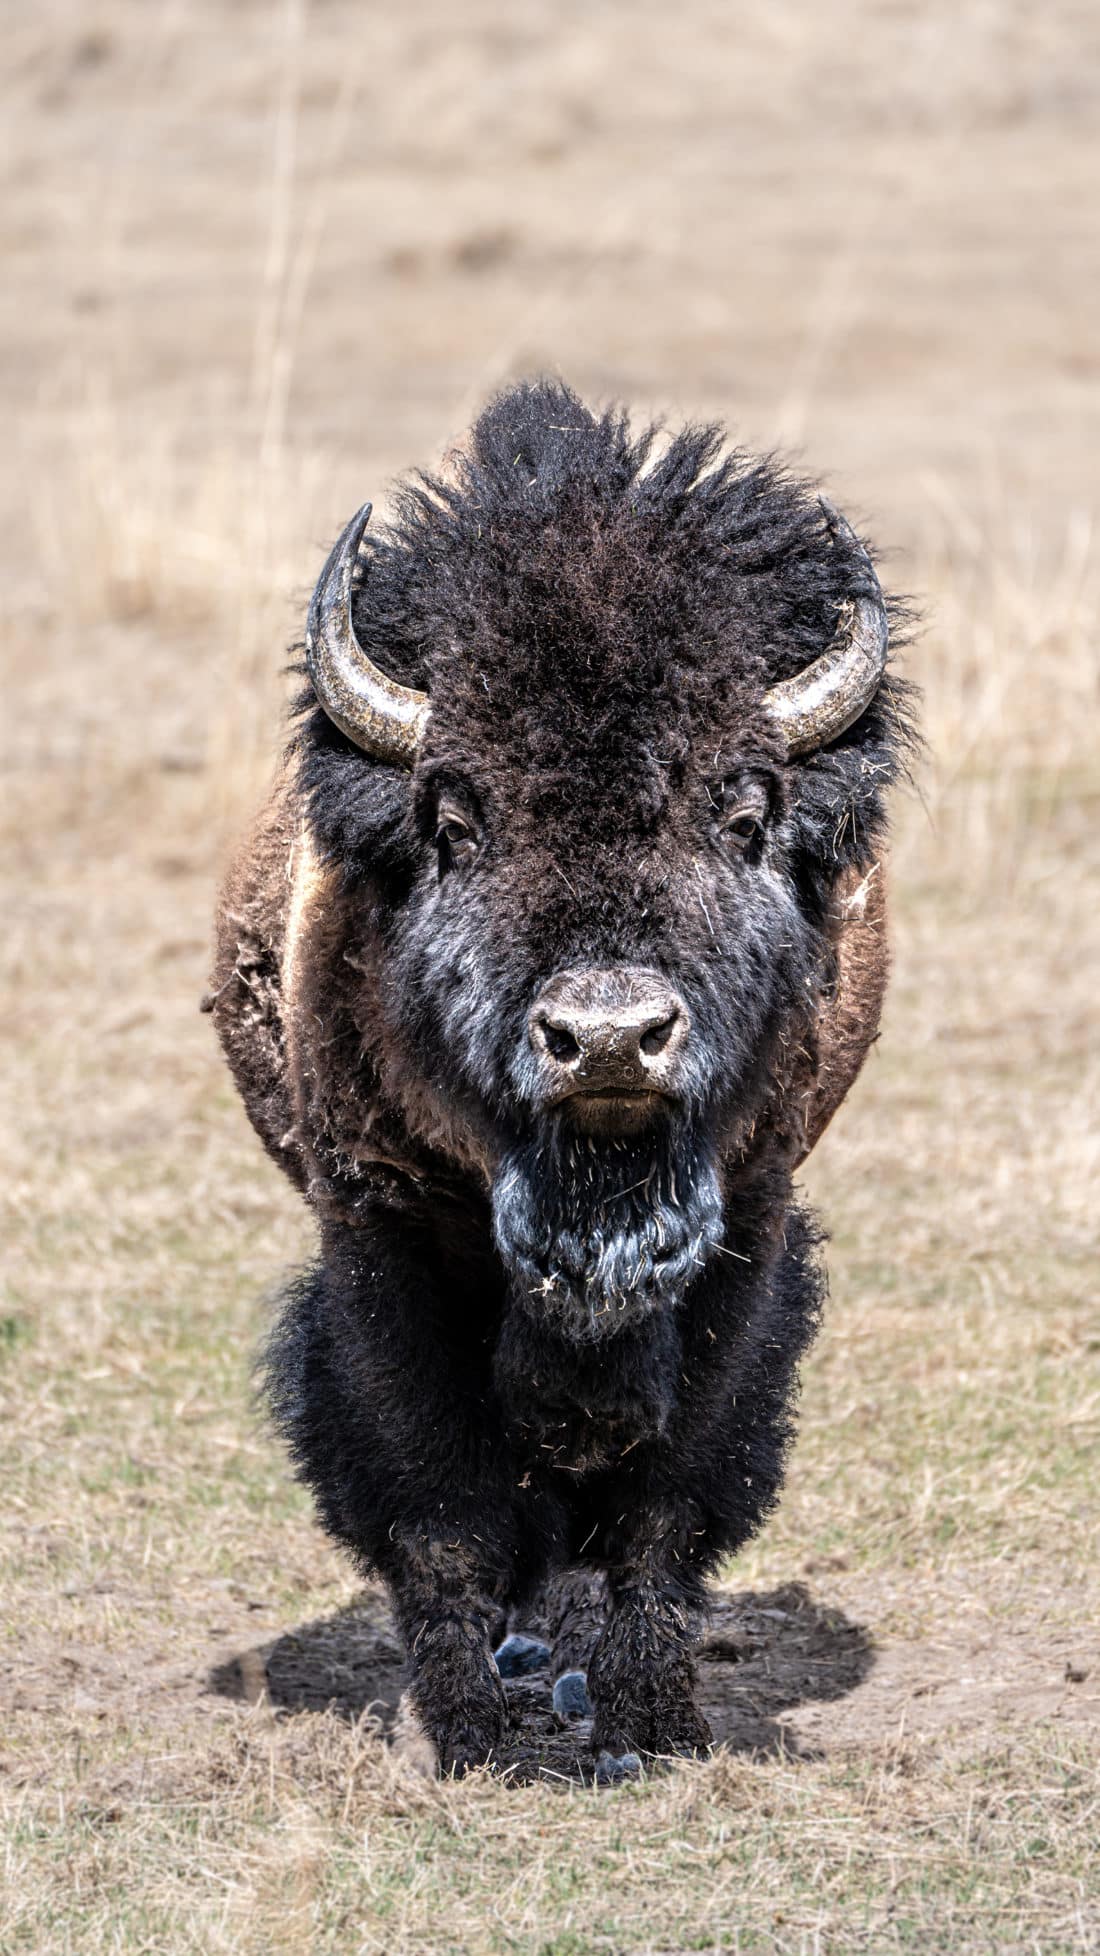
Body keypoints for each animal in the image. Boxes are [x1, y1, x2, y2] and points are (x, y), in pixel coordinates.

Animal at [207, 379, 912, 1779]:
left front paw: (654, 1723)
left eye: (741, 813)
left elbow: (665, 1497)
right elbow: (439, 1501)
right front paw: (467, 1734)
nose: (607, 1037)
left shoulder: (747, 1233)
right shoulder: (378, 1228)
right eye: (455, 817)